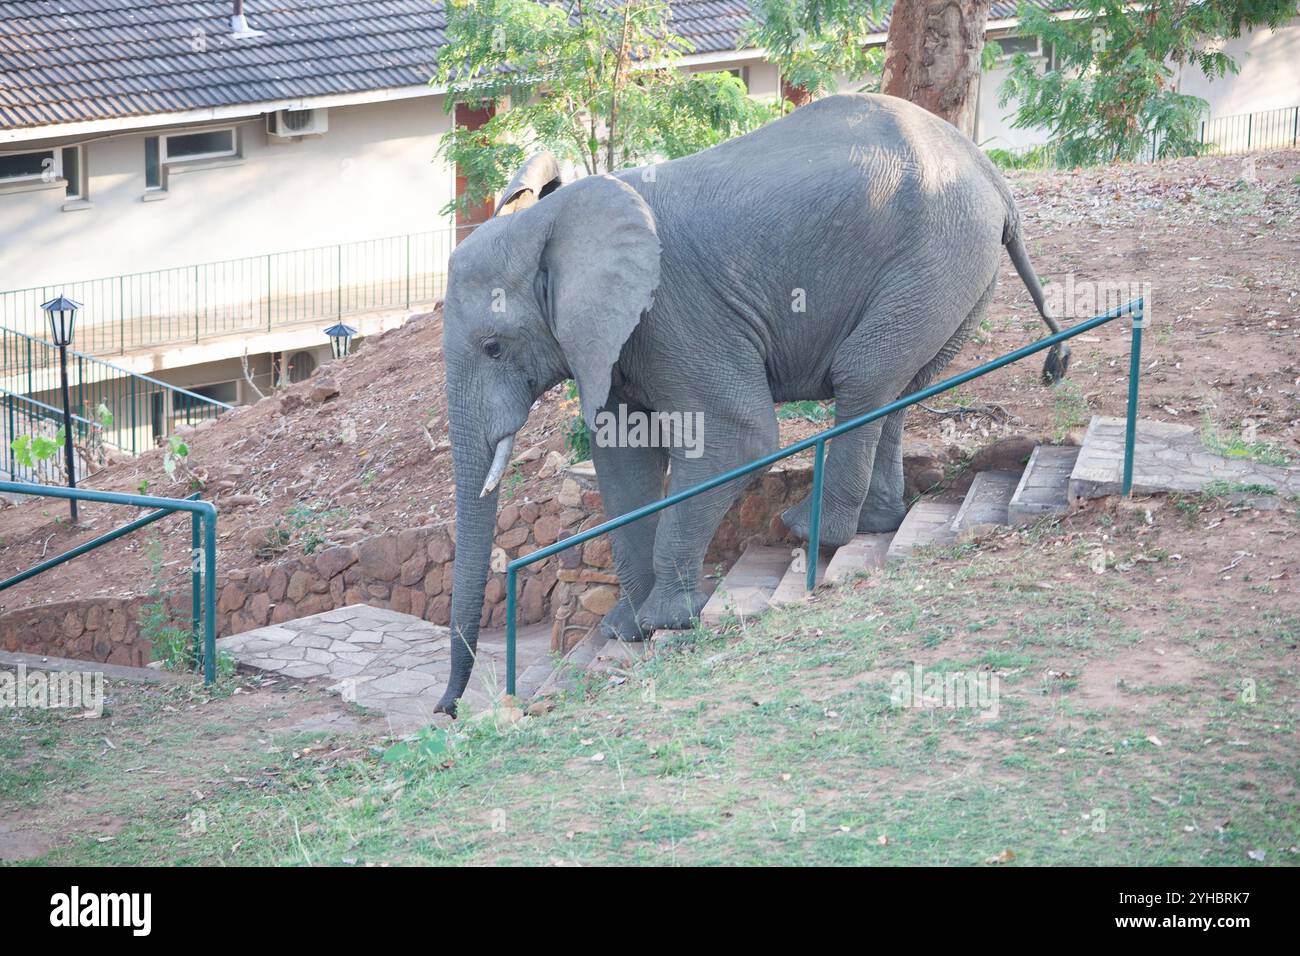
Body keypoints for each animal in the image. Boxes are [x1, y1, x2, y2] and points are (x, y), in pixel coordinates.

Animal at [434, 93, 1065, 715]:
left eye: (493, 347)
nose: (446, 709)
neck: (553, 220)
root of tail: (991, 174)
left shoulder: (674, 310)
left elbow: (741, 436)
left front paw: (665, 621)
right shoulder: (618, 336)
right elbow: (623, 458)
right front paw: (625, 627)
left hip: (938, 256)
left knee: (863, 375)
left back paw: (811, 532)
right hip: (958, 274)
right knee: (900, 385)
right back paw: (873, 522)